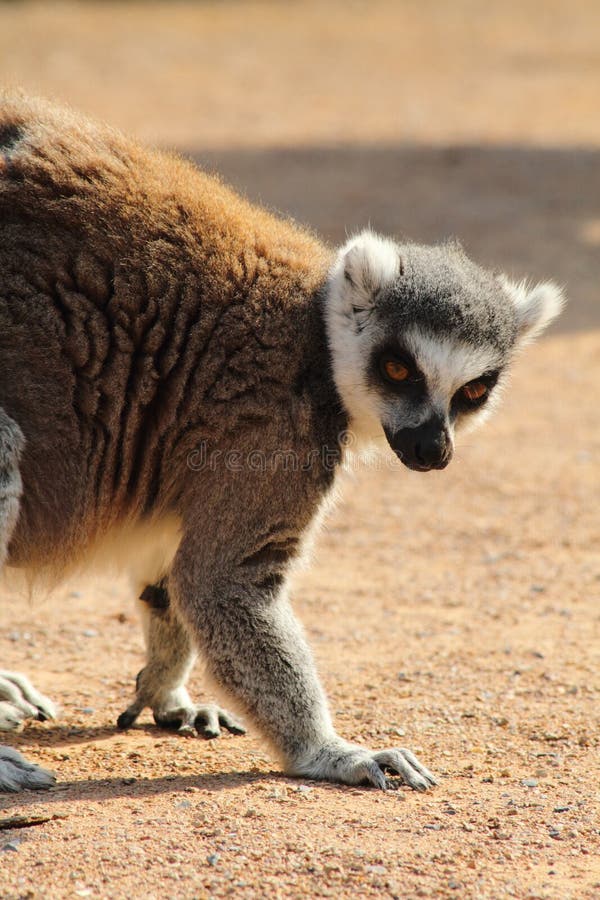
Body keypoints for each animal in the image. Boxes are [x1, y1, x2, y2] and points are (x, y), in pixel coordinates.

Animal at [0, 93, 563, 792]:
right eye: (398, 369)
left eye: (475, 390)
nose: (434, 450)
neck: (317, 343)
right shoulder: (278, 433)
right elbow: (223, 580)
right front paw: (329, 751)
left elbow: (173, 571)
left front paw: (166, 691)